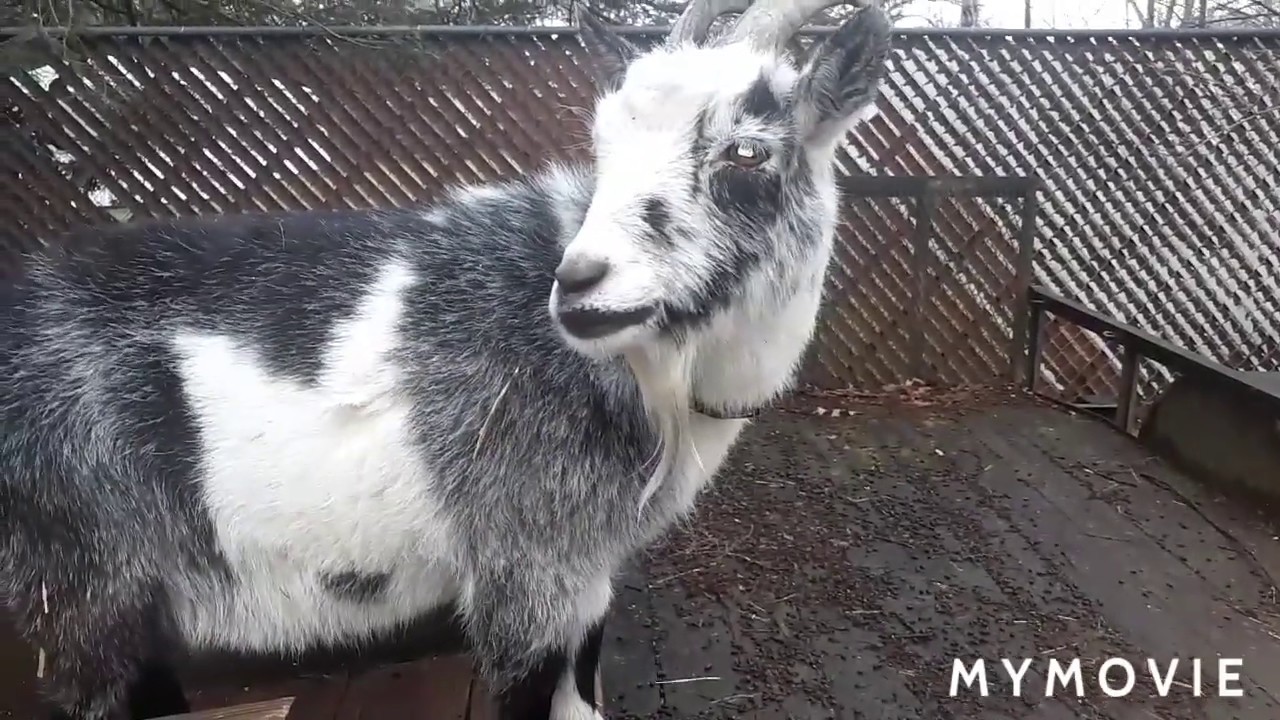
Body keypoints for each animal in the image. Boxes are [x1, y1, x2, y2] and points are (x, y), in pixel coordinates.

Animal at [0, 1, 892, 718]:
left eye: (747, 153)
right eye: (603, 145)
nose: (579, 282)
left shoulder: (586, 575)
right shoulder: (524, 565)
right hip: (81, 581)